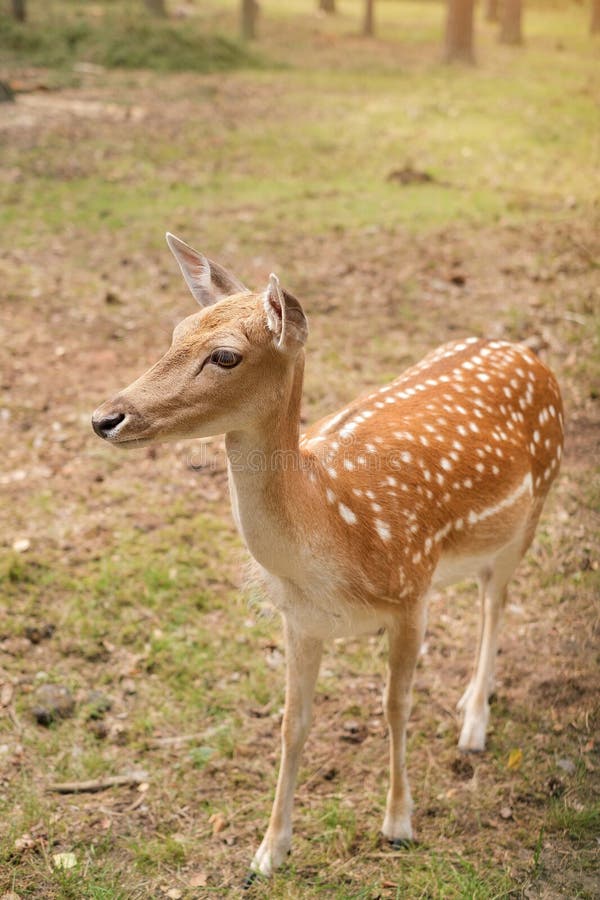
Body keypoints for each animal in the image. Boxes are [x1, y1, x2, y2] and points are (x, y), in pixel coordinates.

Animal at [92, 233, 564, 877]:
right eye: (176, 332)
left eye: (225, 356)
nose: (105, 417)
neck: (334, 531)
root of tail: (529, 354)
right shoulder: (299, 621)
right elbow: (293, 725)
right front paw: (269, 850)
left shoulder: (411, 593)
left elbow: (394, 706)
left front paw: (399, 823)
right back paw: (470, 700)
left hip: (536, 505)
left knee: (498, 603)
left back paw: (474, 726)